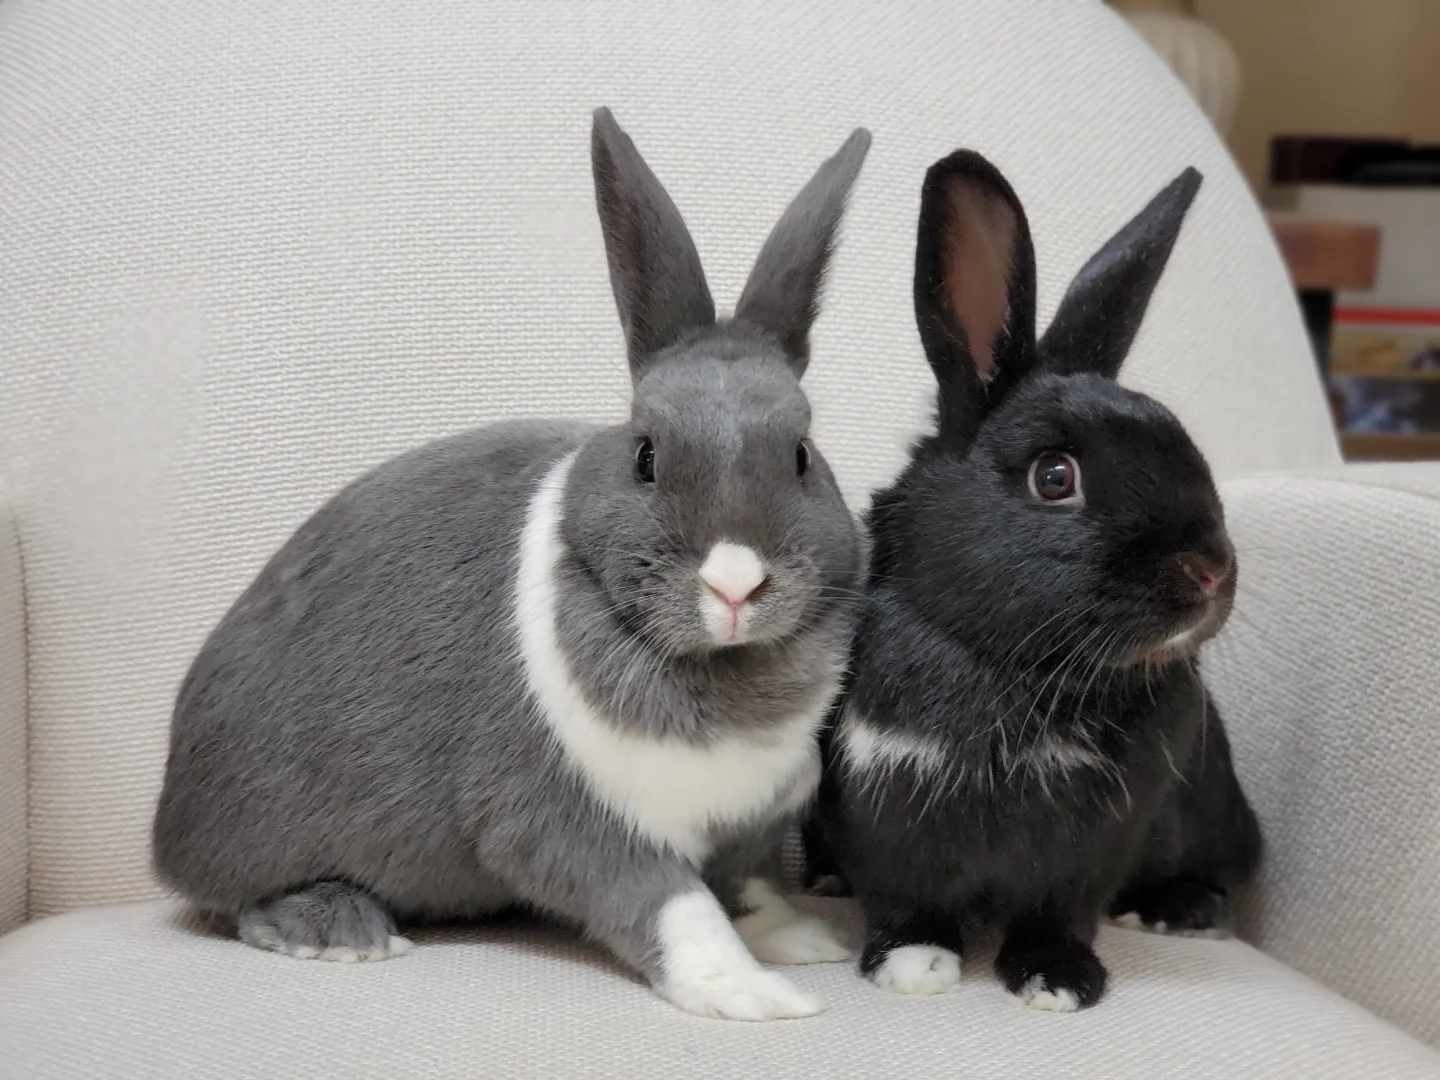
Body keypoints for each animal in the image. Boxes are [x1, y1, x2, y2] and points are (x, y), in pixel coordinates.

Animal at [152, 107, 872, 1022]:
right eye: (645, 454)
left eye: (803, 455)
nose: (735, 582)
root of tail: (165, 825)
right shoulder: (560, 819)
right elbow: (672, 905)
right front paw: (754, 994)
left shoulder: (744, 829)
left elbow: (746, 889)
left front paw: (803, 940)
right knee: (235, 901)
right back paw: (338, 930)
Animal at [808, 147, 1260, 1012]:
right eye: (1055, 477)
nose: (1210, 571)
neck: (1021, 669)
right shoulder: (882, 806)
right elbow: (905, 896)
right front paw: (912, 965)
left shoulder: (1098, 837)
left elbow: (1059, 909)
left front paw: (1058, 982)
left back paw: (1177, 909)